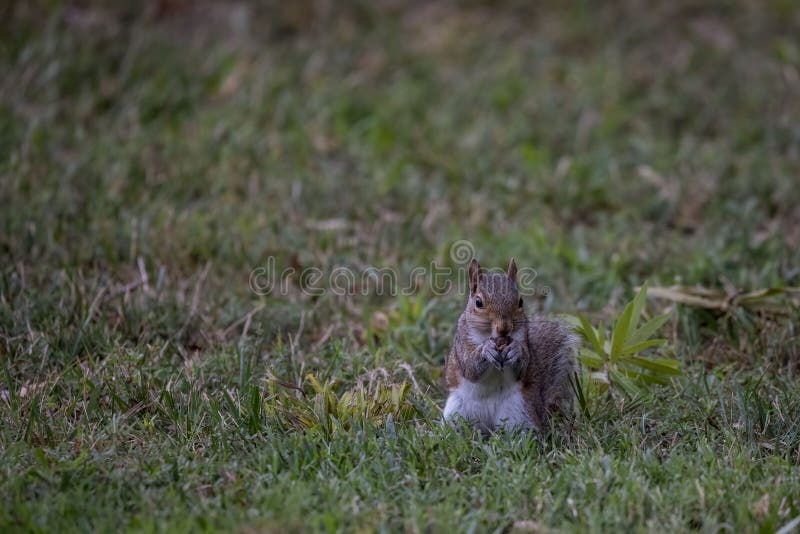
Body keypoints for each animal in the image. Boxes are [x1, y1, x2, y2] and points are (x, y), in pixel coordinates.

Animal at [443, 258, 578, 433]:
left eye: (520, 301)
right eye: (478, 302)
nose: (504, 328)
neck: (491, 337)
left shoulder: (523, 340)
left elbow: (522, 368)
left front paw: (516, 351)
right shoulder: (462, 342)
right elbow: (469, 367)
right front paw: (486, 350)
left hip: (519, 413)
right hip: (457, 412)